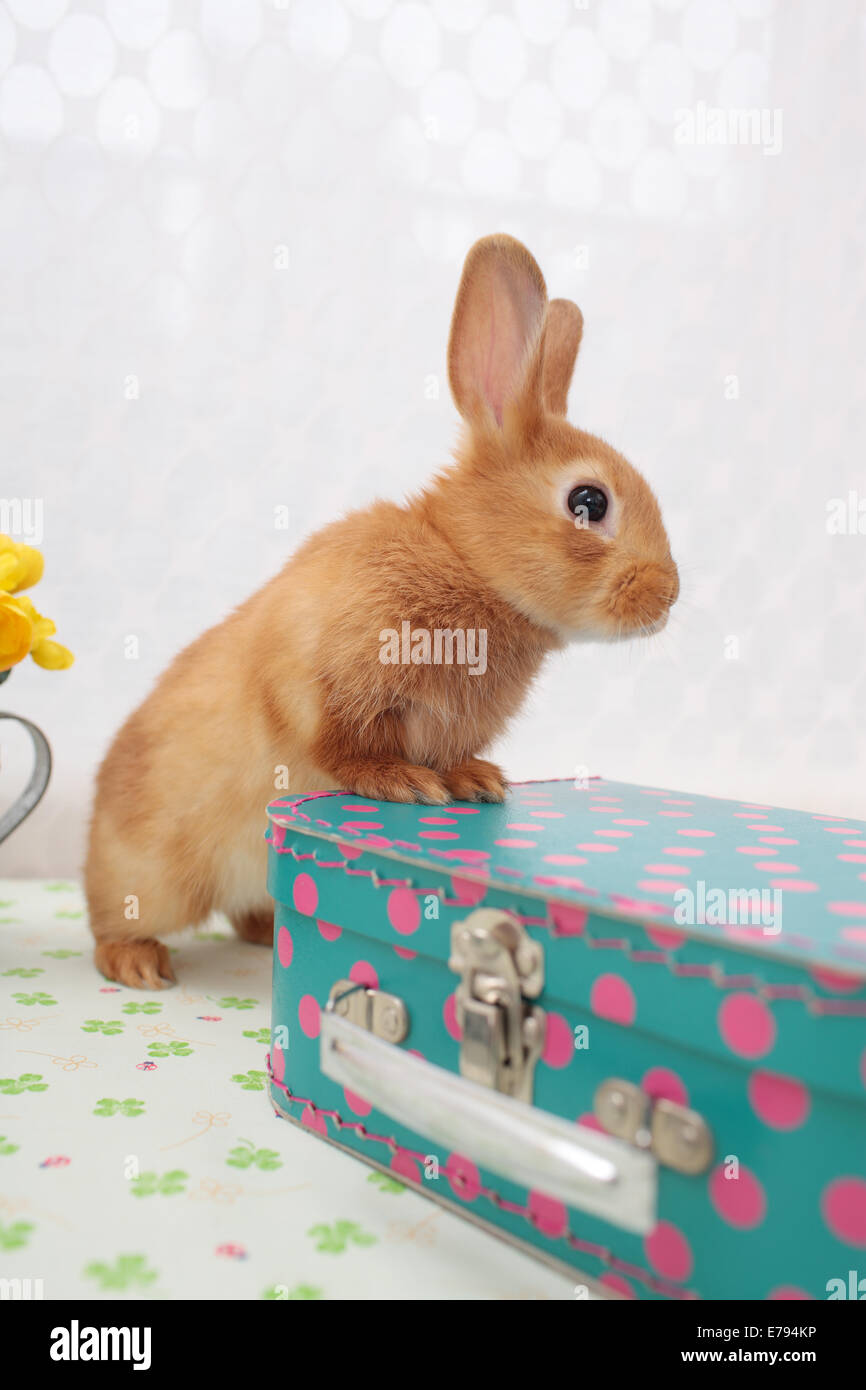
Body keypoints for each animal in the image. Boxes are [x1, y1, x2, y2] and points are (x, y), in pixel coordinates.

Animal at [85, 234, 678, 988]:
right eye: (588, 502)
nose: (668, 595)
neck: (465, 561)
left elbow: (450, 755)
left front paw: (477, 782)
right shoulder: (325, 684)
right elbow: (338, 746)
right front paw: (404, 783)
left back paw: (266, 929)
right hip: (152, 879)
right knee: (114, 921)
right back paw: (139, 963)